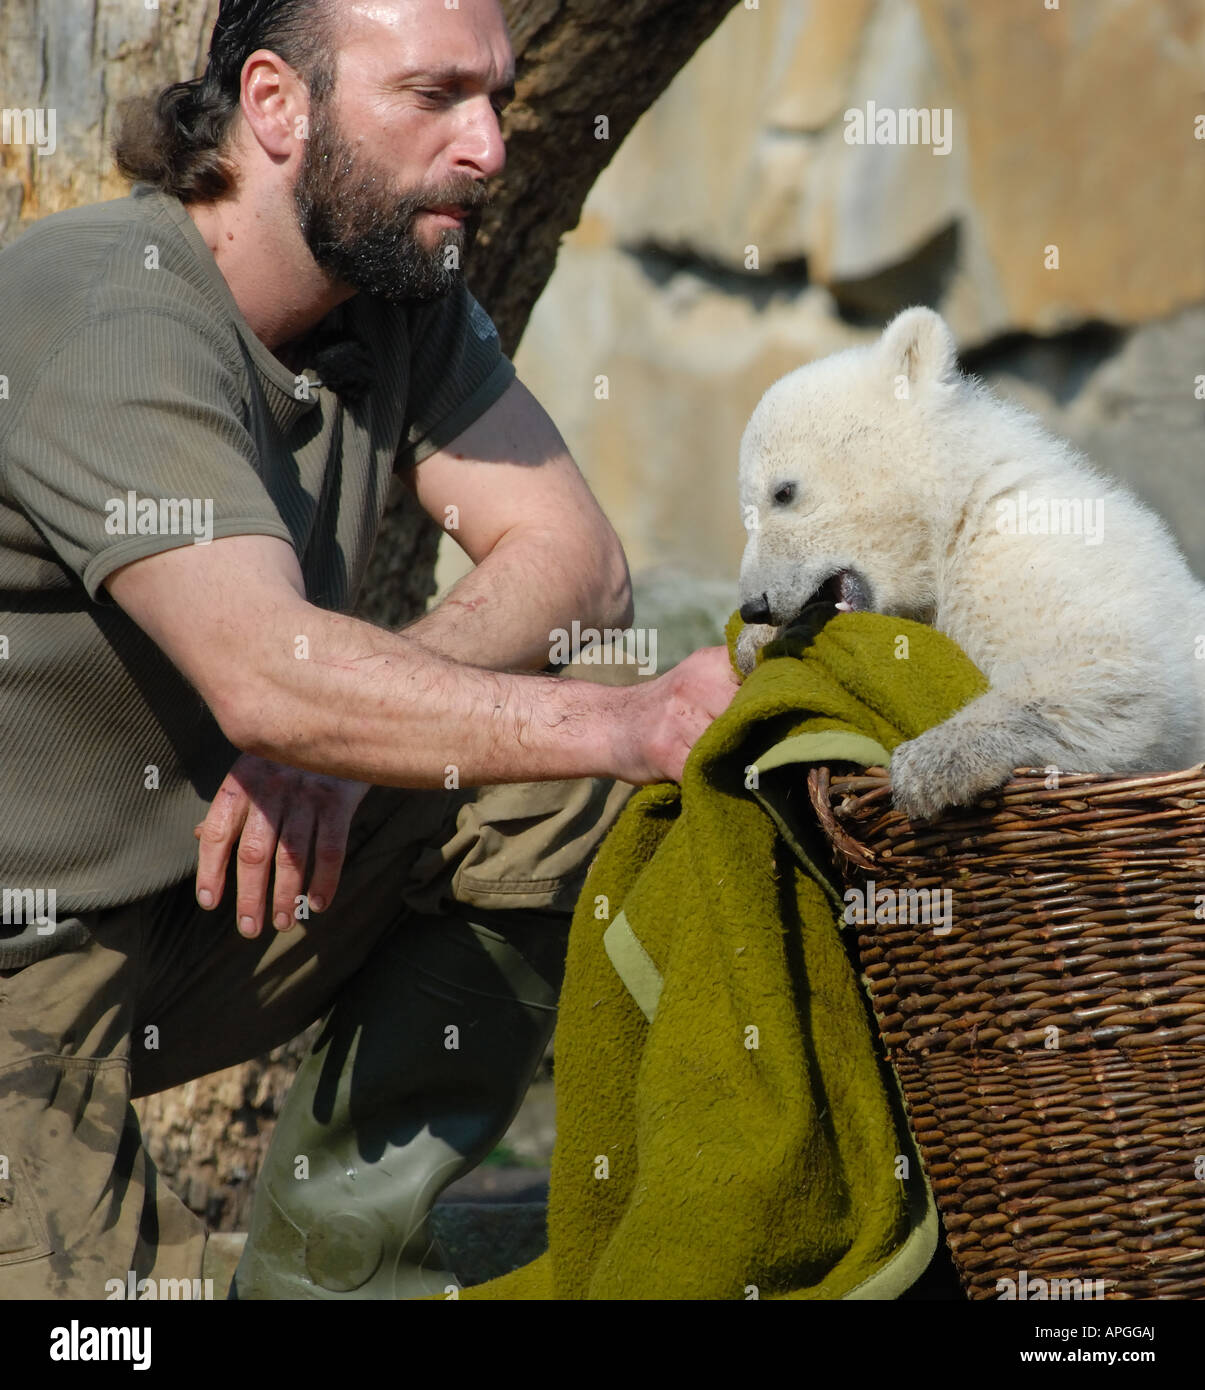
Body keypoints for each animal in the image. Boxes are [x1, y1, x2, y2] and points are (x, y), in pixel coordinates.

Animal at [735, 306, 1205, 820]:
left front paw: (929, 765)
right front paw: (754, 642)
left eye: (784, 491)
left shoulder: (1028, 558)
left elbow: (1117, 676)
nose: (754, 606)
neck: (959, 513)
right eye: (746, 511)